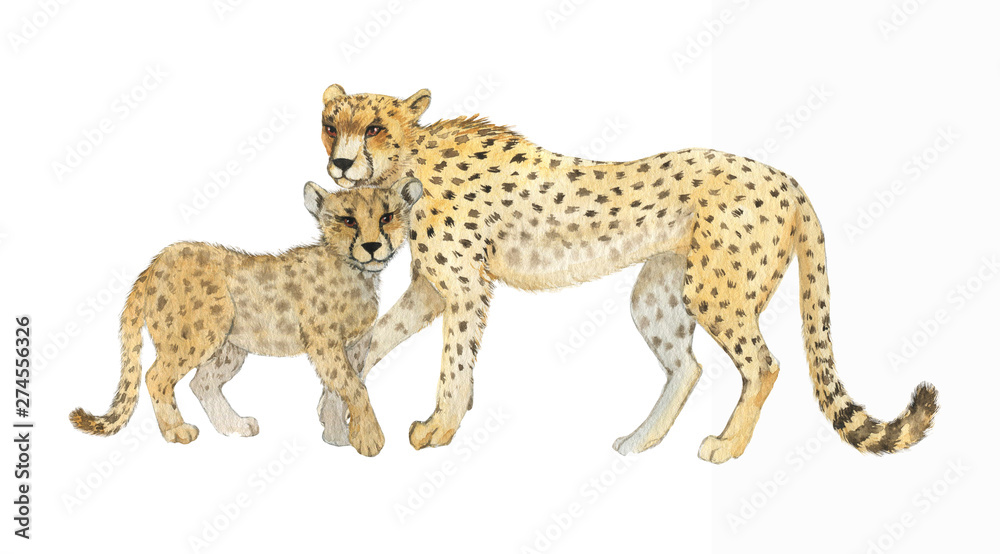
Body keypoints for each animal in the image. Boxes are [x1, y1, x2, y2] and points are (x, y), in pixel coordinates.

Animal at [69, 176, 423, 457]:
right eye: (348, 220)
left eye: (387, 216)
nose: (372, 245)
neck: (357, 273)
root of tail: (160, 259)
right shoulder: (325, 345)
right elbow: (354, 388)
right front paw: (369, 439)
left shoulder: (353, 345)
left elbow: (340, 389)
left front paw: (337, 436)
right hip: (195, 337)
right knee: (157, 377)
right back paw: (177, 431)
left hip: (230, 347)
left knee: (202, 383)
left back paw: (234, 426)